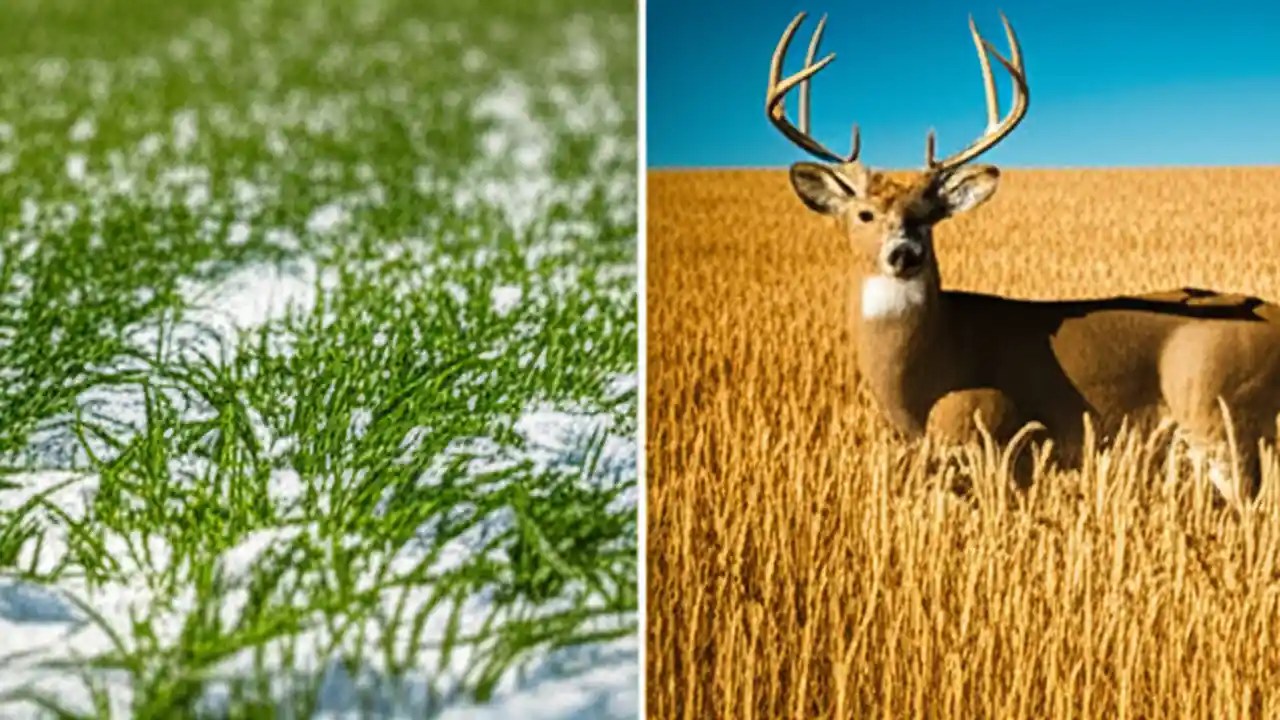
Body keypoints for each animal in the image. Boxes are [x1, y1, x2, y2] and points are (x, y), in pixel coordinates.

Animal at [767, 10, 1280, 507]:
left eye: (928, 215)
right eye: (864, 214)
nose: (904, 253)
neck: (927, 365)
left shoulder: (993, 428)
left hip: (1217, 410)